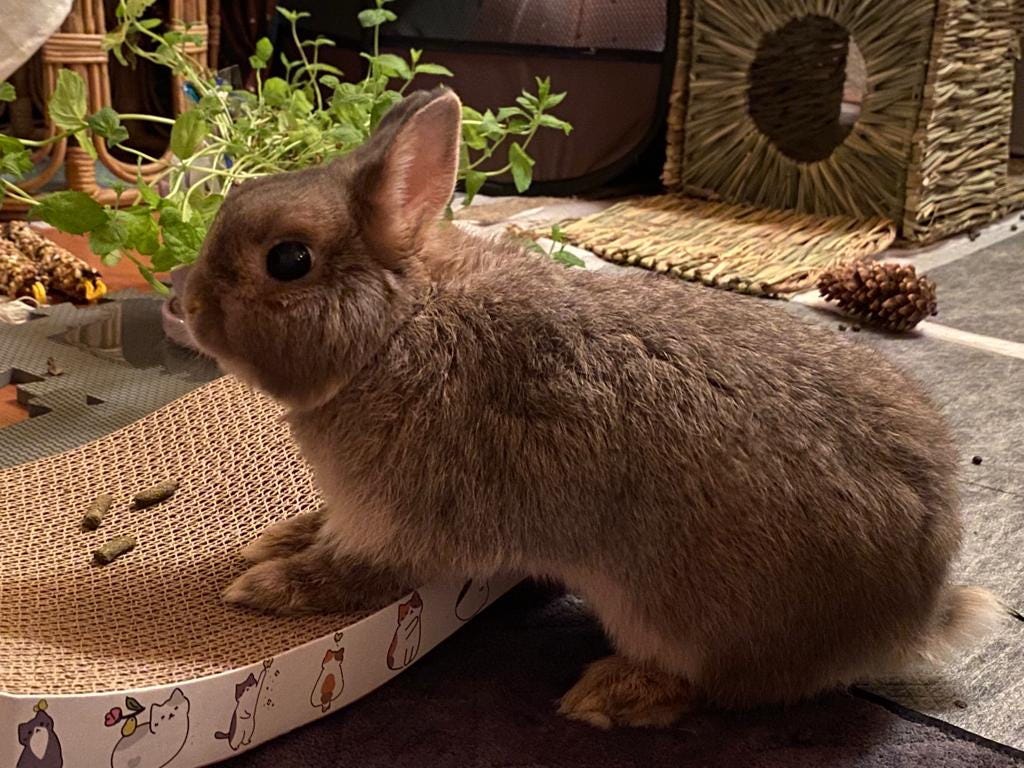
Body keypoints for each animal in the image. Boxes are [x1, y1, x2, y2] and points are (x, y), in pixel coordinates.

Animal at [183, 86, 1004, 728]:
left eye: (288, 260)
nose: (183, 305)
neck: (397, 325)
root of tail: (913, 612)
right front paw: (275, 540)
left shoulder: (403, 528)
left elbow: (349, 576)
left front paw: (264, 586)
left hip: (681, 617)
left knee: (716, 689)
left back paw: (613, 695)